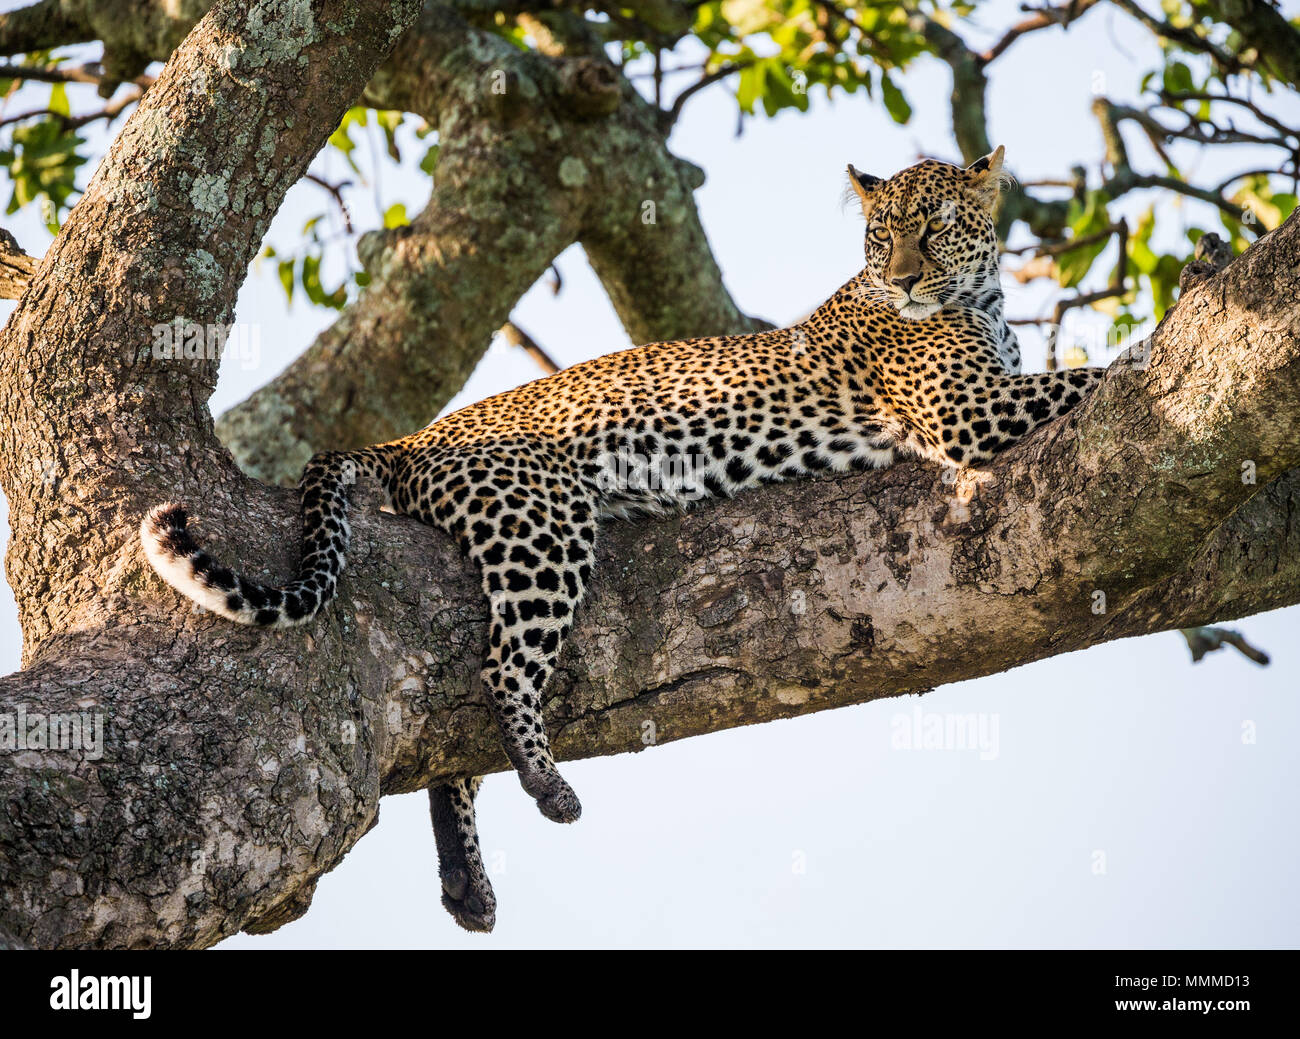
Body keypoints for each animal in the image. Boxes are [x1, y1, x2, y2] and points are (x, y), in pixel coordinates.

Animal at [141, 147, 1106, 932]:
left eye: (935, 228)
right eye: (881, 235)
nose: (903, 282)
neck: (984, 303)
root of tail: (413, 437)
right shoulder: (968, 412)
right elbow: (1093, 372)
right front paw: (1142, 343)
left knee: (456, 742)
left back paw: (467, 884)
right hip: (543, 523)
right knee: (501, 670)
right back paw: (548, 785)